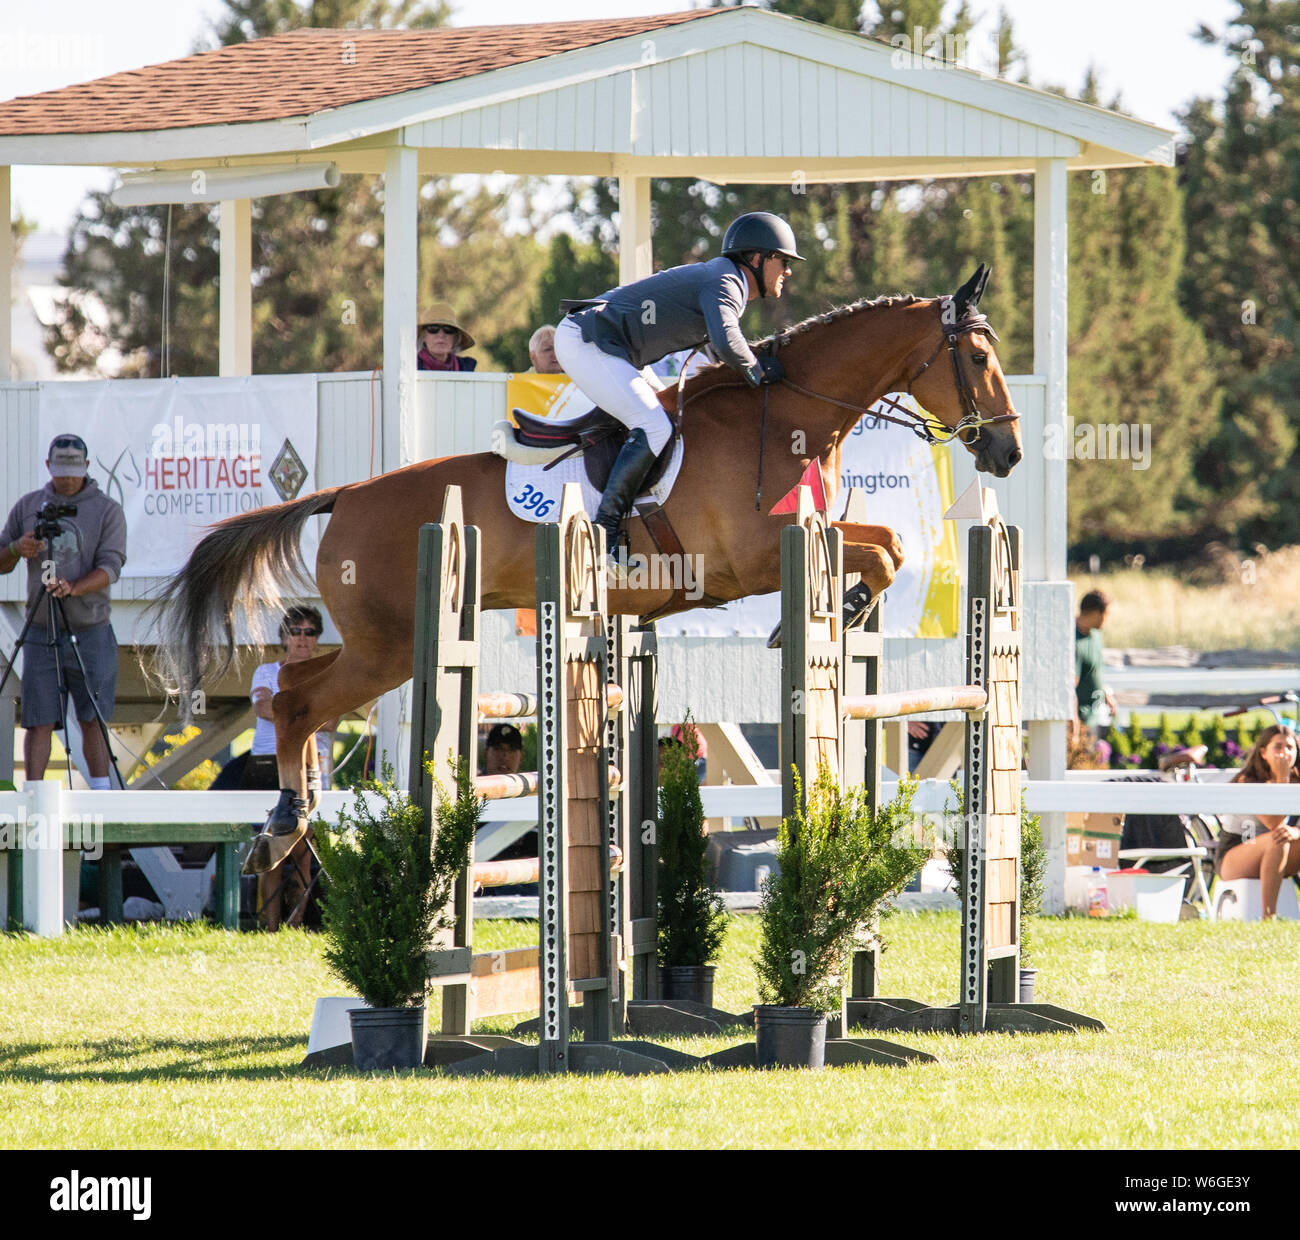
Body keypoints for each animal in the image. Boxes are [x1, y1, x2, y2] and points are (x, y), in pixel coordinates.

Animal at [150, 264, 1022, 871]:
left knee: (291, 689)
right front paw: (828, 611)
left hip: (372, 644)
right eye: (978, 356)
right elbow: (880, 550)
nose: (1008, 452)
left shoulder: (810, 531)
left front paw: (851, 605)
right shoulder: (750, 558)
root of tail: (347, 494)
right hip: (388, 650)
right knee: (298, 704)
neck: (788, 413)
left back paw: (287, 817)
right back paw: (286, 823)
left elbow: (890, 545)